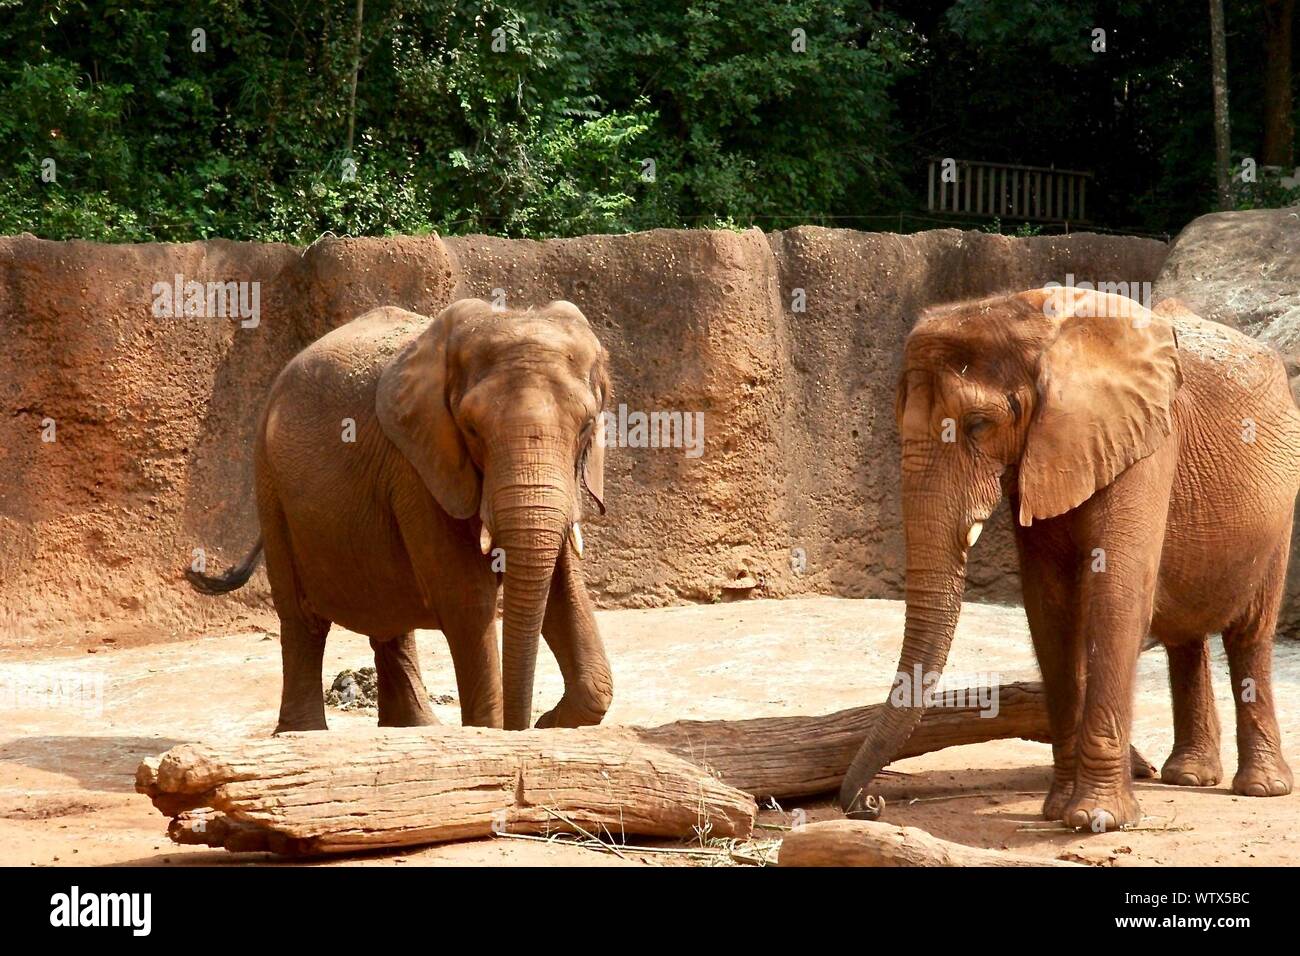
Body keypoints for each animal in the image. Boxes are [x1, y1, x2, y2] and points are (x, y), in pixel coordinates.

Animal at [186, 298, 614, 733]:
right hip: (270, 483)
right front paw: (492, 732)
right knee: (302, 618)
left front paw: (552, 723)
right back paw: (302, 735)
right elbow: (467, 599)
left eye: (586, 426)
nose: (528, 723)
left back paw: (414, 727)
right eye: (472, 429)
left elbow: (563, 589)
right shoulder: (416, 467)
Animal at [839, 286, 1300, 832]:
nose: (872, 803)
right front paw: (1058, 810)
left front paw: (1095, 819)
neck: (1035, 323)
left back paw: (1261, 788)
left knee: (1250, 634)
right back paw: (1188, 777)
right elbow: (1049, 606)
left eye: (978, 425)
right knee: (1185, 639)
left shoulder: (1143, 442)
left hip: (1281, 512)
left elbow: (1116, 592)